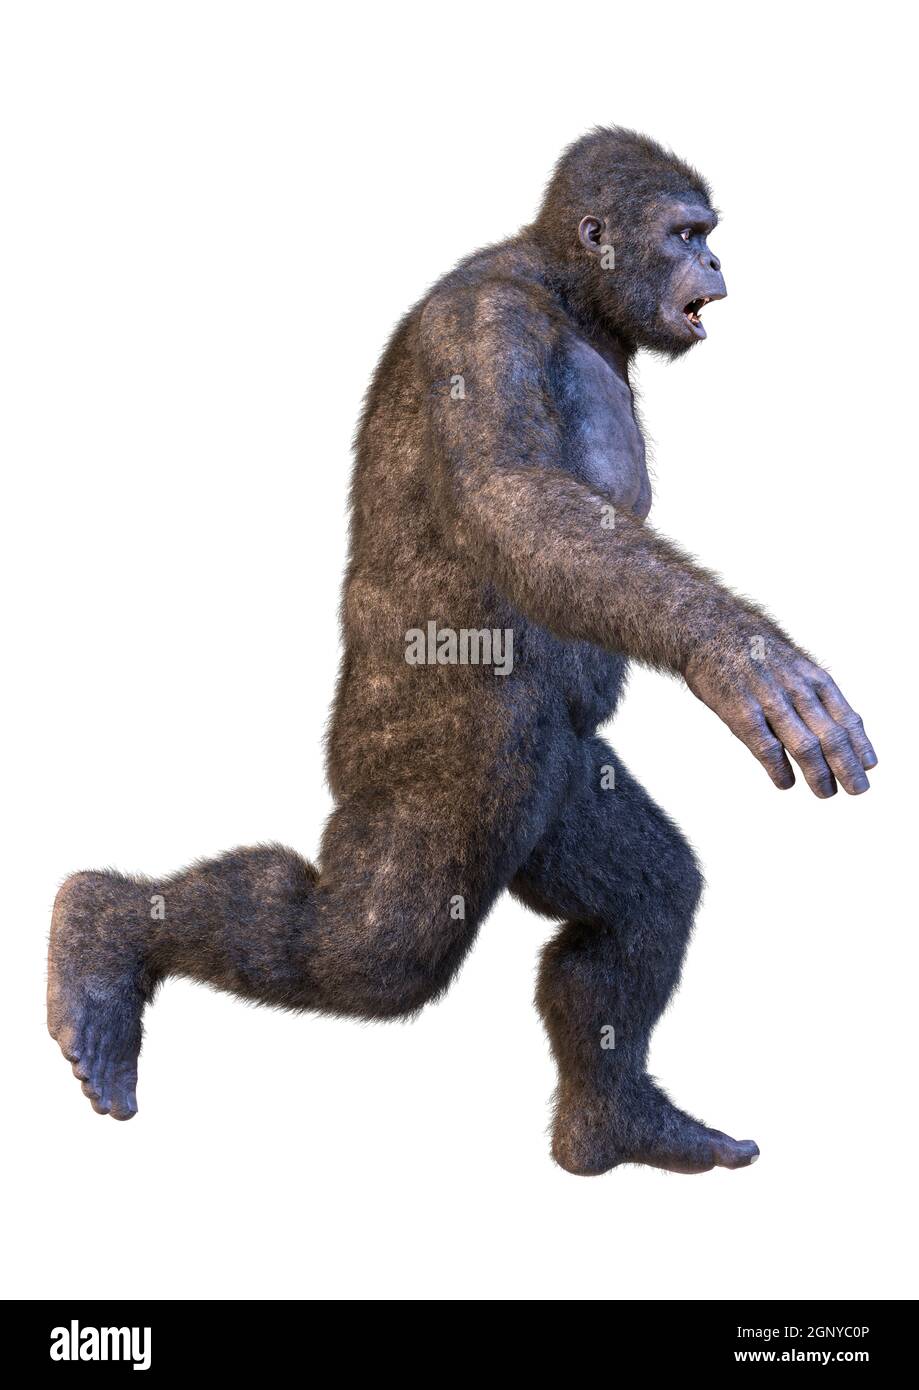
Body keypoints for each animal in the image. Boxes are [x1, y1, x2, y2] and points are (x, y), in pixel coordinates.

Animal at [48, 127, 876, 1175]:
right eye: (686, 233)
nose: (717, 263)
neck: (571, 294)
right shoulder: (489, 336)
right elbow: (514, 496)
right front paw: (744, 661)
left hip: (552, 784)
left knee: (635, 906)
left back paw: (613, 1124)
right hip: (449, 764)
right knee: (369, 946)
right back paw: (104, 932)